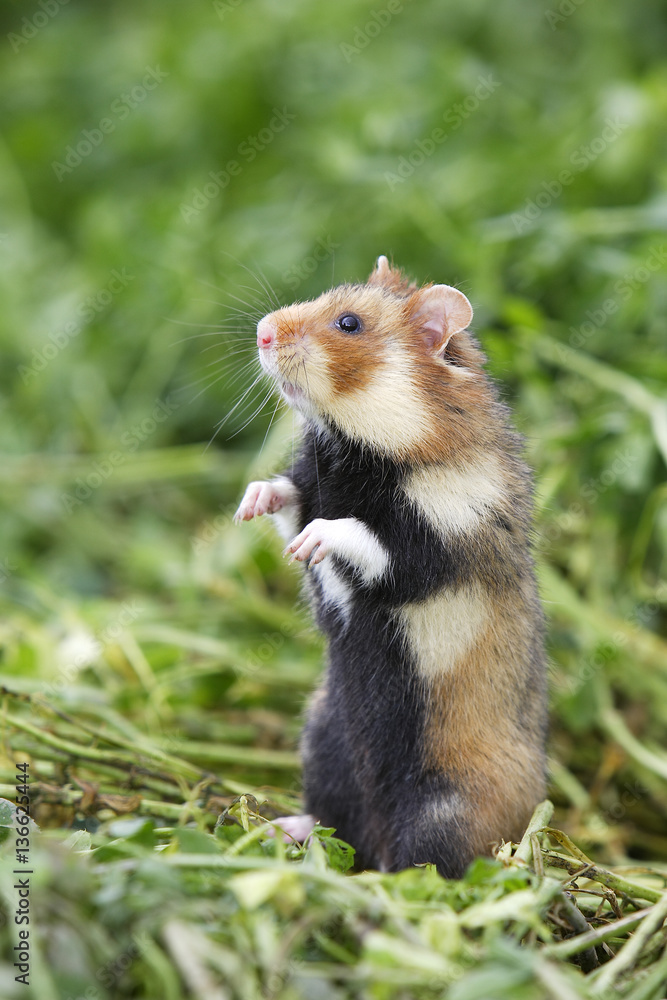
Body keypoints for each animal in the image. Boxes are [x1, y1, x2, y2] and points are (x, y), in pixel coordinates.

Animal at [235, 255, 547, 877]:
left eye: (349, 323)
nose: (261, 333)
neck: (357, 447)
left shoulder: (433, 546)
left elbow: (361, 535)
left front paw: (312, 542)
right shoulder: (313, 482)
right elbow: (288, 496)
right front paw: (249, 503)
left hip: (445, 804)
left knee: (427, 865)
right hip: (325, 743)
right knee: (338, 825)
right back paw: (284, 830)